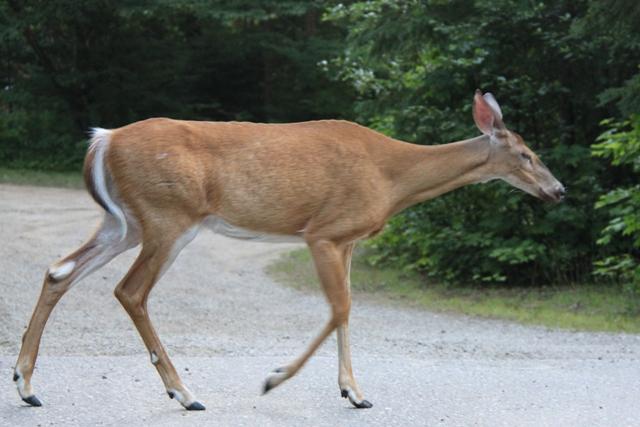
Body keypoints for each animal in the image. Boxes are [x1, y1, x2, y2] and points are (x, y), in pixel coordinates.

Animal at [13, 90, 564, 411]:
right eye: (525, 154)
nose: (558, 190)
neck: (391, 178)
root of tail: (102, 141)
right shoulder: (324, 231)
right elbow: (339, 307)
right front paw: (276, 379)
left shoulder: (346, 240)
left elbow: (348, 310)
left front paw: (354, 392)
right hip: (169, 215)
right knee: (130, 291)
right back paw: (185, 394)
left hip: (123, 221)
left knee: (59, 270)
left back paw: (26, 385)